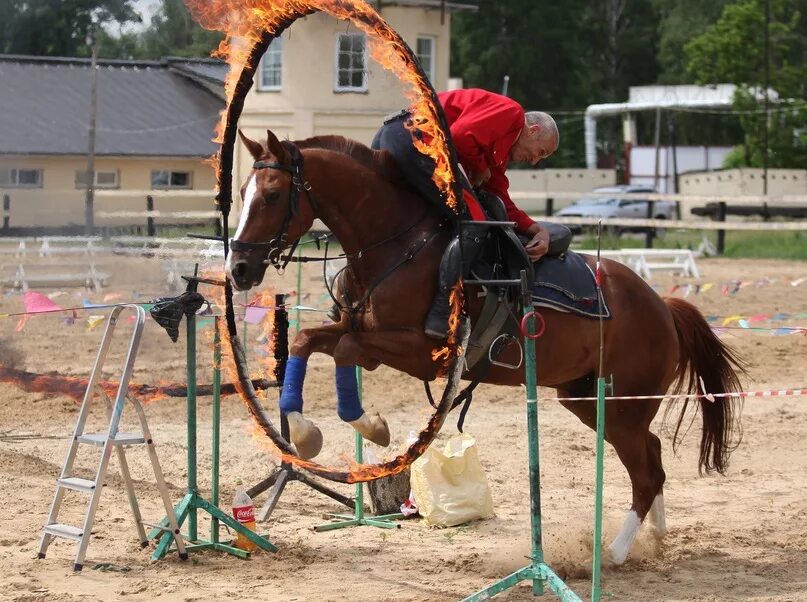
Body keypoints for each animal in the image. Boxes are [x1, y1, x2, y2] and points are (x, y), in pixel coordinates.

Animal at [224, 129, 740, 564]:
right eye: (243, 193)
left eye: (272, 195)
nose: (238, 269)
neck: (397, 243)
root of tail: (663, 305)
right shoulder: (366, 339)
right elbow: (308, 341)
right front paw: (305, 431)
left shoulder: (420, 352)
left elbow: (348, 349)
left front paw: (371, 426)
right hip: (589, 400)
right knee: (651, 456)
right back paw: (654, 535)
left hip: (622, 404)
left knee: (647, 471)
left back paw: (612, 553)